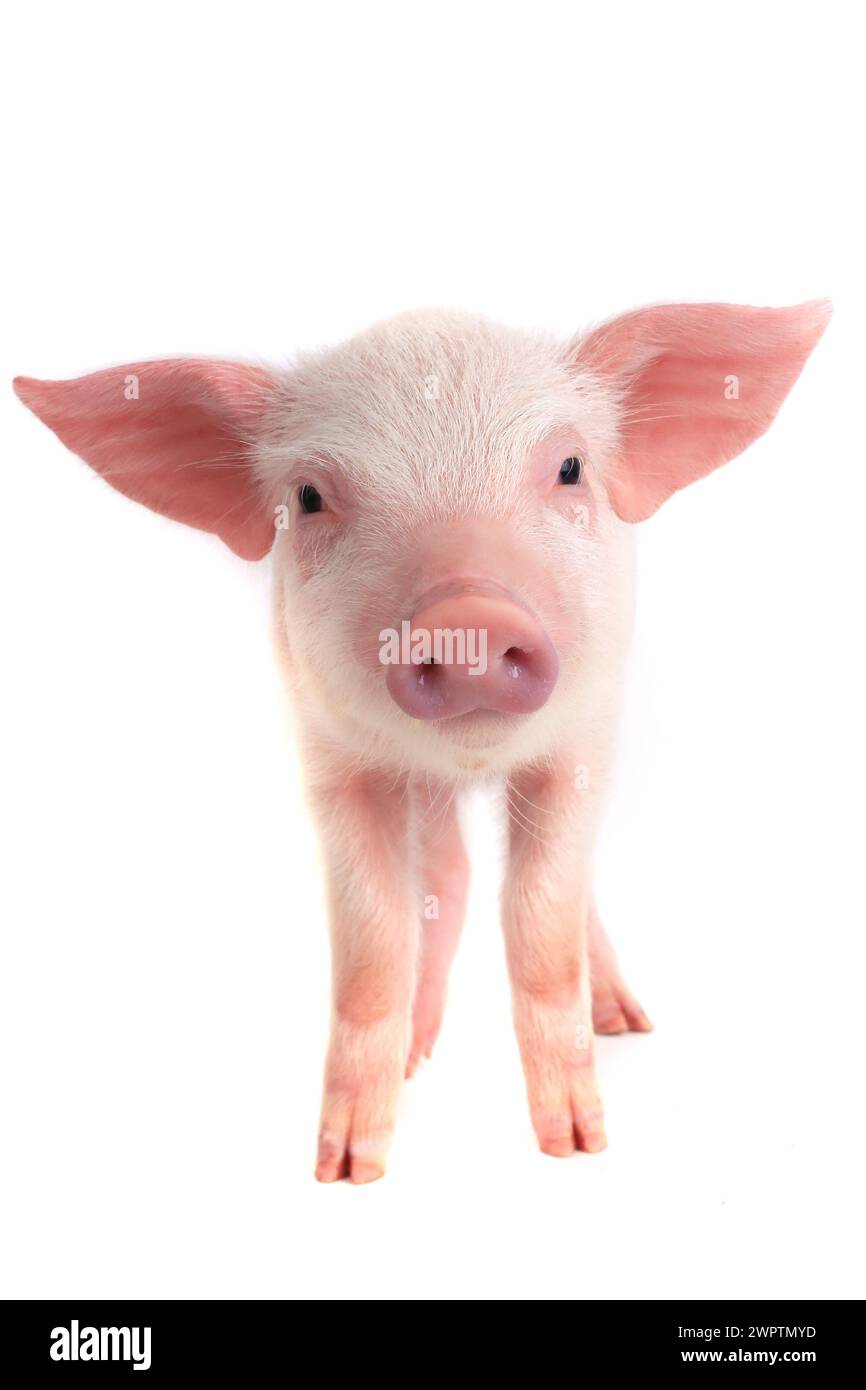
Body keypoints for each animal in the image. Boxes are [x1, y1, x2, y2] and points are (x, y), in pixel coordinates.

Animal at [14, 299, 830, 1182]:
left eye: (570, 467)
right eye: (309, 496)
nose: (467, 616)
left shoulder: (581, 744)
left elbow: (543, 920)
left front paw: (576, 1146)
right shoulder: (331, 757)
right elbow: (372, 942)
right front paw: (348, 1168)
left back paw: (623, 1022)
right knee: (450, 871)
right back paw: (423, 1049)